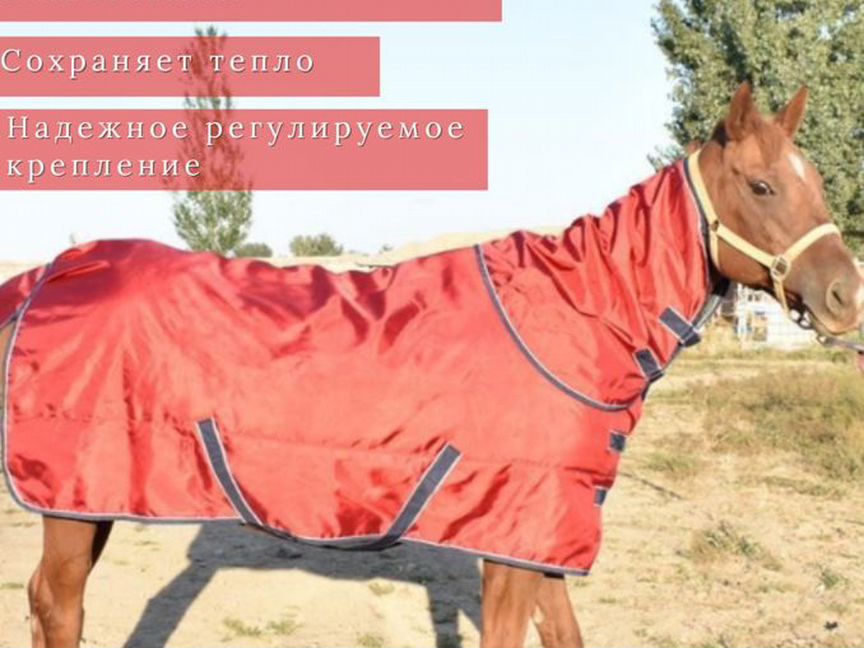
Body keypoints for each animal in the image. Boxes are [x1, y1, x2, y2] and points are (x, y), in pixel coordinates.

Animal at [2, 82, 863, 648]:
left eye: (817, 180)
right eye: (761, 184)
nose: (846, 294)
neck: (571, 312)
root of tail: (55, 268)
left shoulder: (543, 532)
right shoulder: (510, 538)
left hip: (95, 499)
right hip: (74, 498)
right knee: (58, 606)